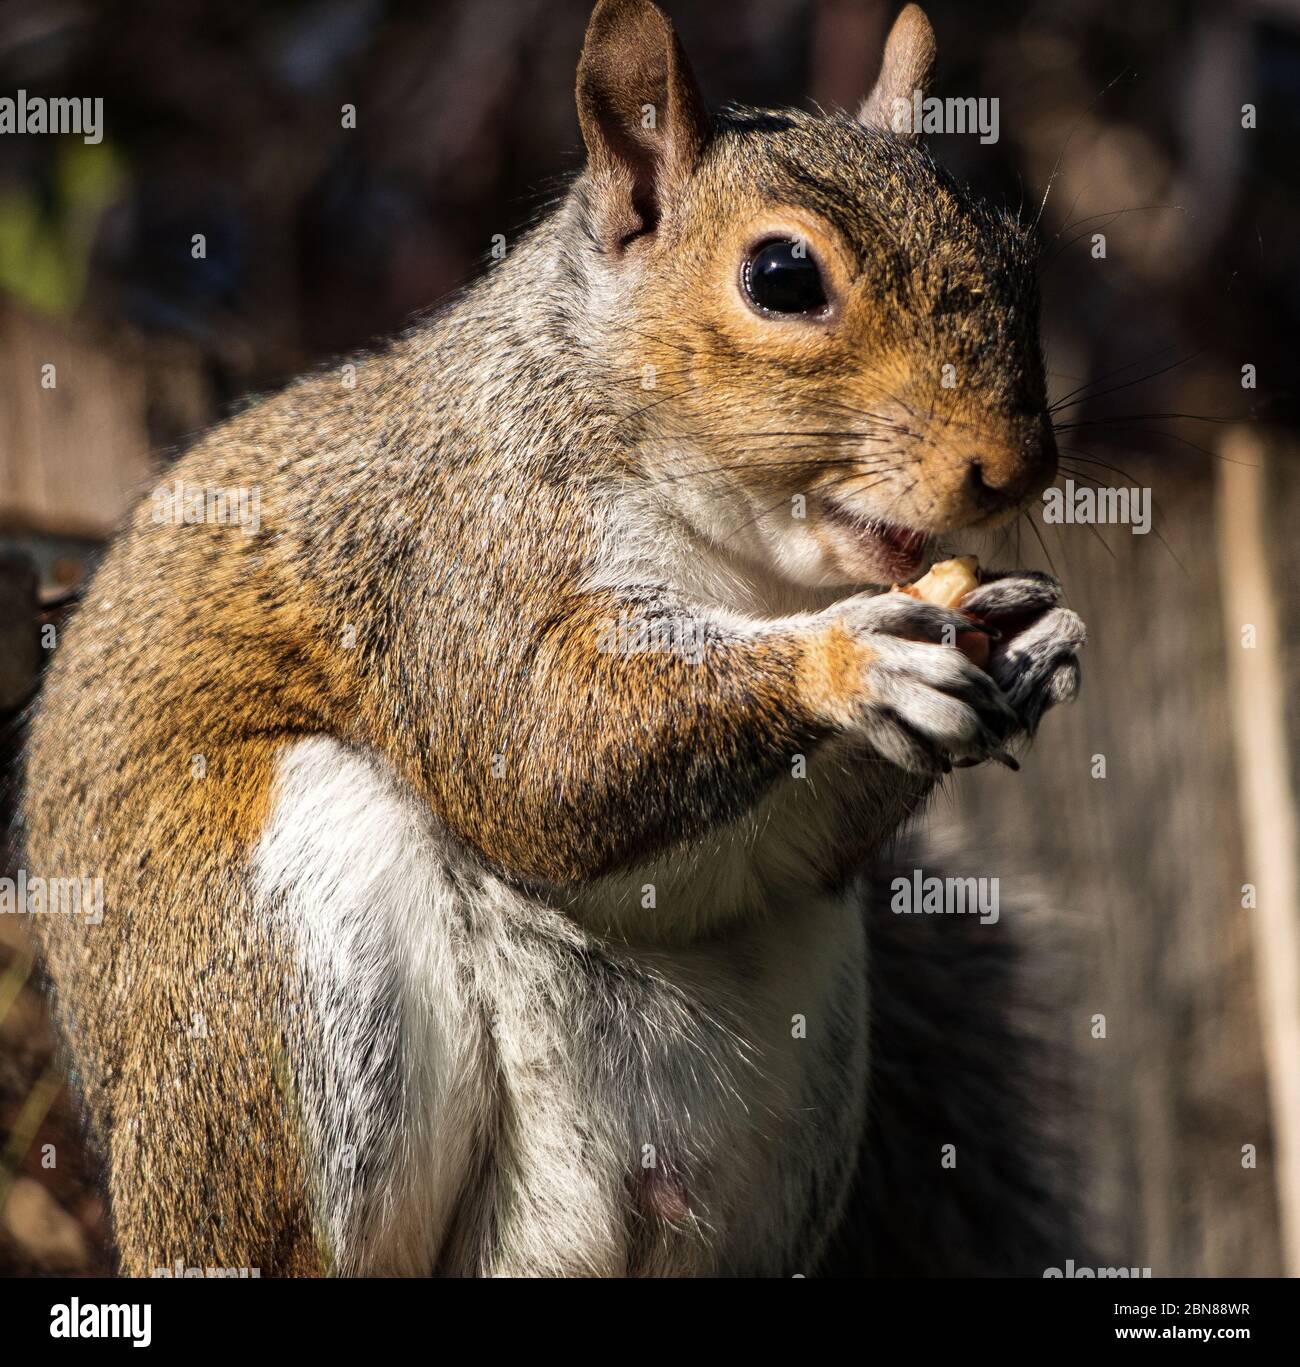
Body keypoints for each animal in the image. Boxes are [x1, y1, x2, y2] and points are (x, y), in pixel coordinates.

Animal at [21, 1, 1085, 1276]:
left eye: (1016, 254)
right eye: (782, 275)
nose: (1015, 466)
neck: (754, 568)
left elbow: (798, 849)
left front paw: (1030, 636)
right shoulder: (462, 552)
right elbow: (536, 752)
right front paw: (849, 662)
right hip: (274, 985)